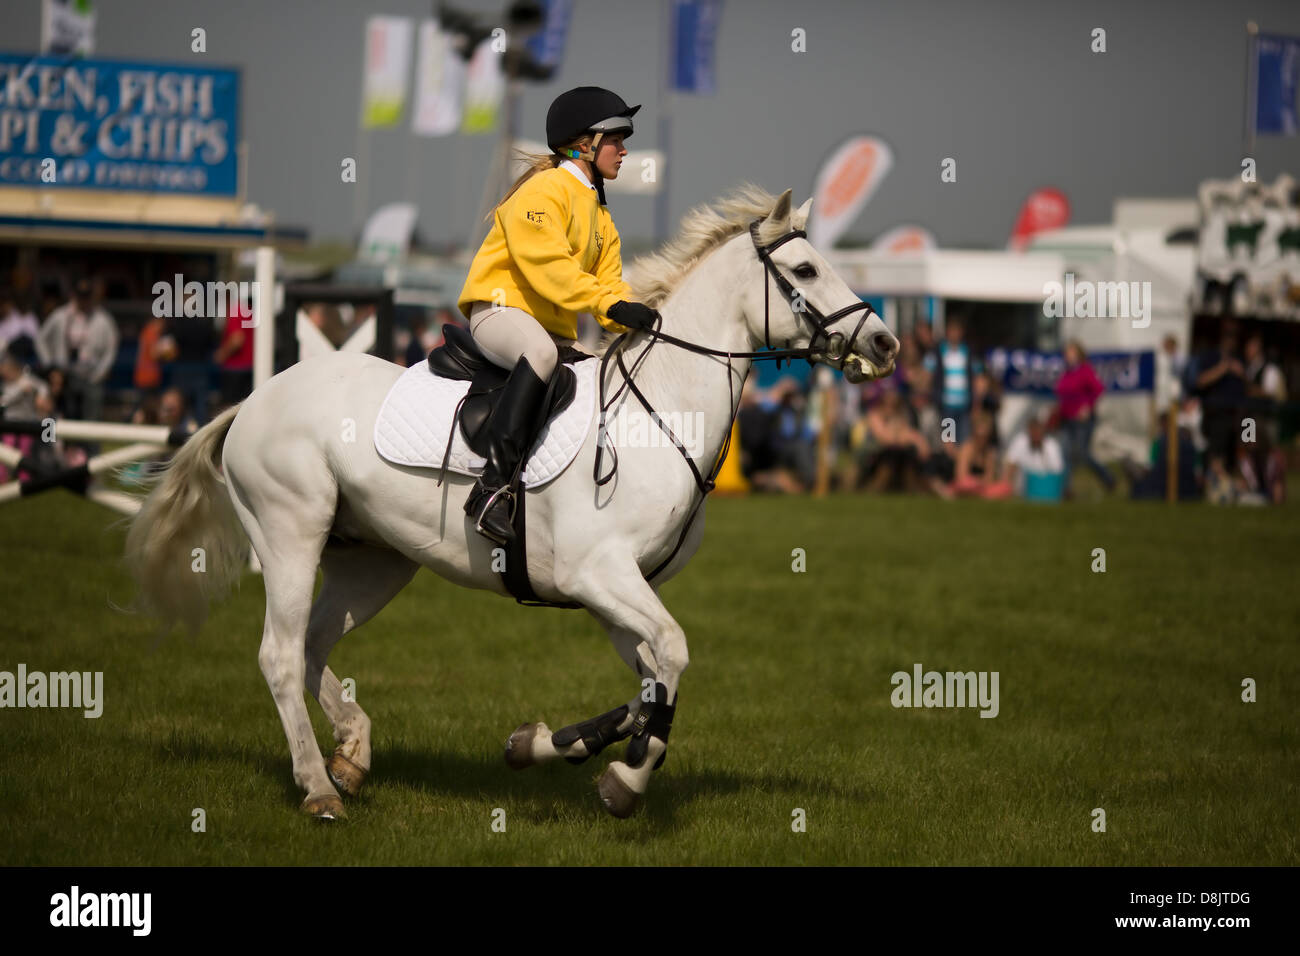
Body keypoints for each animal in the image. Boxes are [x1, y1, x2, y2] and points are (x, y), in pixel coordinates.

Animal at [124, 185, 899, 820]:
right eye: (806, 271)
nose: (886, 343)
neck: (660, 413)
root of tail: (255, 401)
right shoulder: (600, 576)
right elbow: (673, 657)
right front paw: (624, 780)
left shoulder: (617, 593)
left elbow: (655, 682)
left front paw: (552, 747)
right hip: (291, 535)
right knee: (282, 656)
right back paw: (319, 789)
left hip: (374, 561)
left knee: (314, 646)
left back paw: (352, 753)